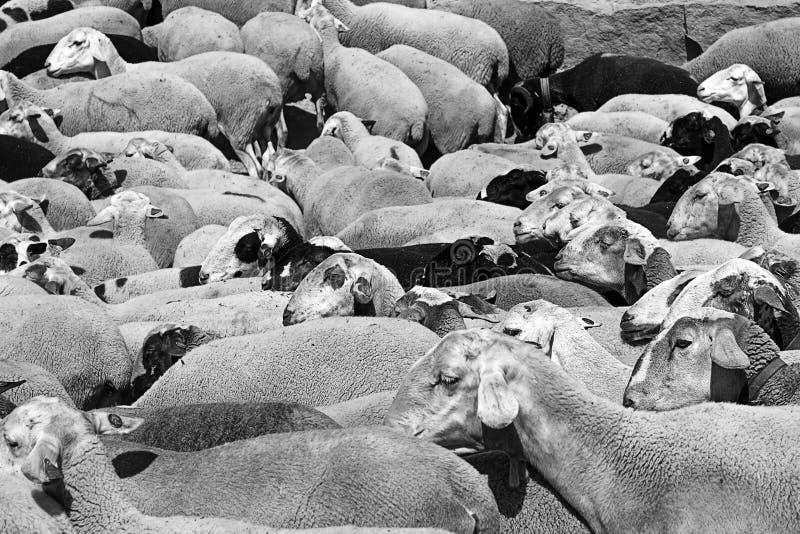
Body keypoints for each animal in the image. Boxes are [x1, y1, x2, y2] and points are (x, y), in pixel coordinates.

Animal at [46, 28, 284, 171]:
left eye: (77, 42)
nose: (47, 65)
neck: (122, 69)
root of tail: (274, 90)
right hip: (263, 129)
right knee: (269, 160)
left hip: (240, 124)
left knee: (255, 168)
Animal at [298, 0, 509, 94]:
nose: (299, 16)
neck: (354, 16)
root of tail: (500, 50)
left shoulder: (372, 49)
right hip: (488, 78)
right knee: (503, 112)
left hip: (474, 72)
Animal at [302, 4, 429, 152]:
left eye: (308, 18)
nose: (317, 4)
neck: (332, 50)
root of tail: (417, 123)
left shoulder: (332, 100)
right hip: (420, 146)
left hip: (391, 132)